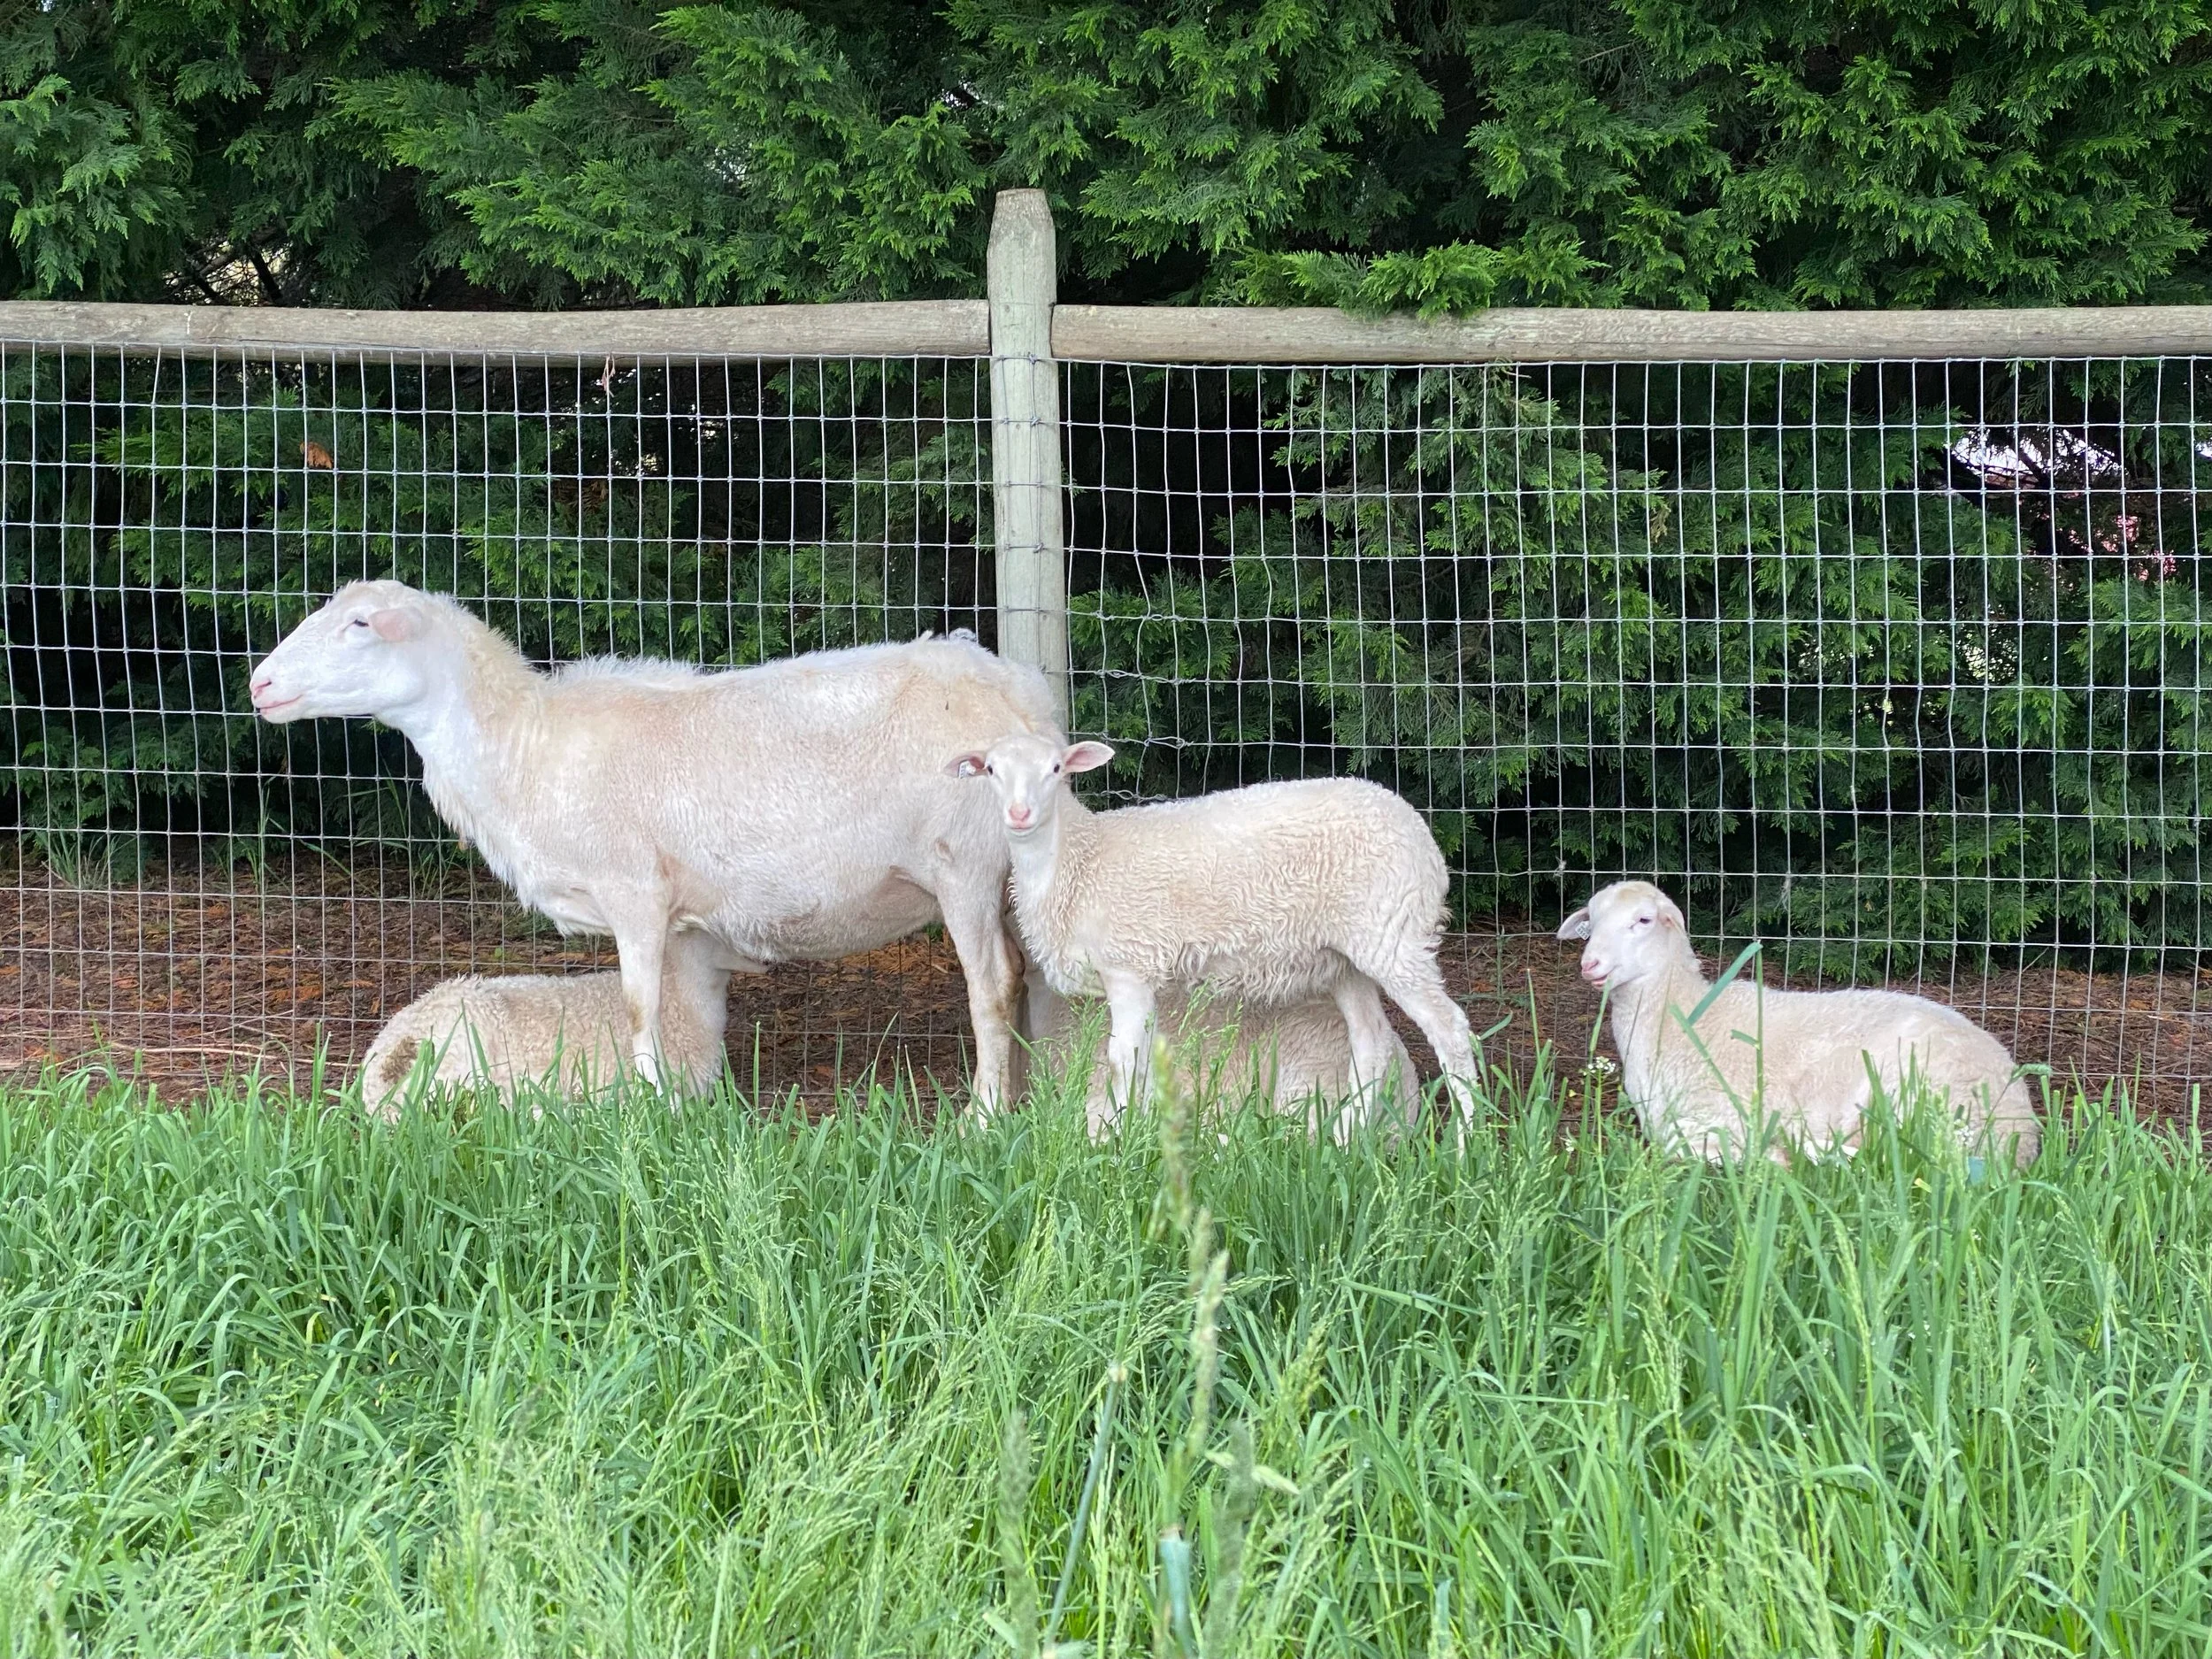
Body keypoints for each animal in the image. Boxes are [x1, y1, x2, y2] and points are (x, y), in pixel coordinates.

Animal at [949, 733, 1479, 1121]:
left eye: (1056, 770)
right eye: (991, 770)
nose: (1019, 815)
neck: (1078, 860)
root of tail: (1424, 840)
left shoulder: (1128, 966)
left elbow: (1124, 1061)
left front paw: (1120, 1143)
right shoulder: (1140, 975)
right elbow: (1145, 1062)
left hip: (1394, 935)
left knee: (1451, 1032)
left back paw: (1469, 1145)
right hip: (1346, 959)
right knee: (1370, 1045)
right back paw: (1349, 1141)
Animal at [1558, 880, 2040, 1166]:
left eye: (1643, 920)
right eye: (1591, 921)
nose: (1589, 963)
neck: (1681, 1014)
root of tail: (2019, 1127)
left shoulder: (1714, 1116)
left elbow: (1682, 1145)